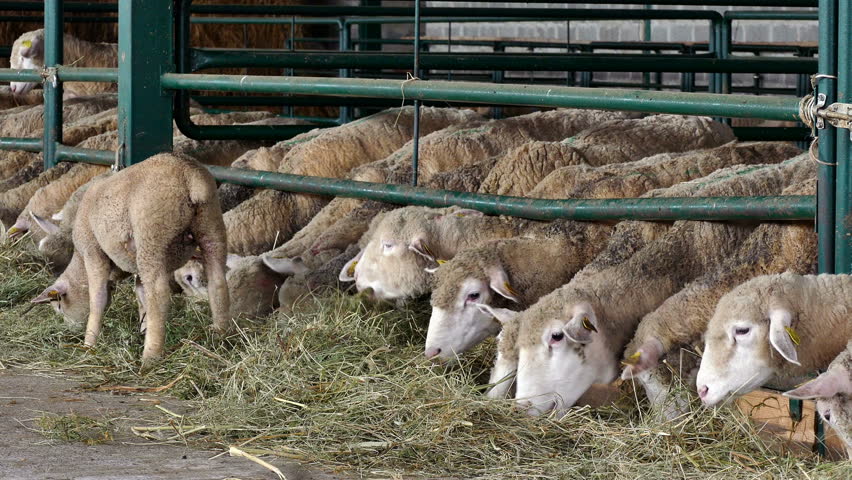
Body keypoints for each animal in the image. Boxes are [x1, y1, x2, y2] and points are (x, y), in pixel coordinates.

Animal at [31, 153, 229, 367]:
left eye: (59, 307)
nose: (69, 330)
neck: (80, 262)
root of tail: (189, 176)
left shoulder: (93, 252)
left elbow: (97, 298)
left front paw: (89, 343)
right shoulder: (137, 269)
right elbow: (141, 295)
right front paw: (143, 328)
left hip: (151, 234)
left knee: (159, 294)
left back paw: (150, 356)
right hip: (210, 222)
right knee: (217, 279)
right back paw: (221, 333)